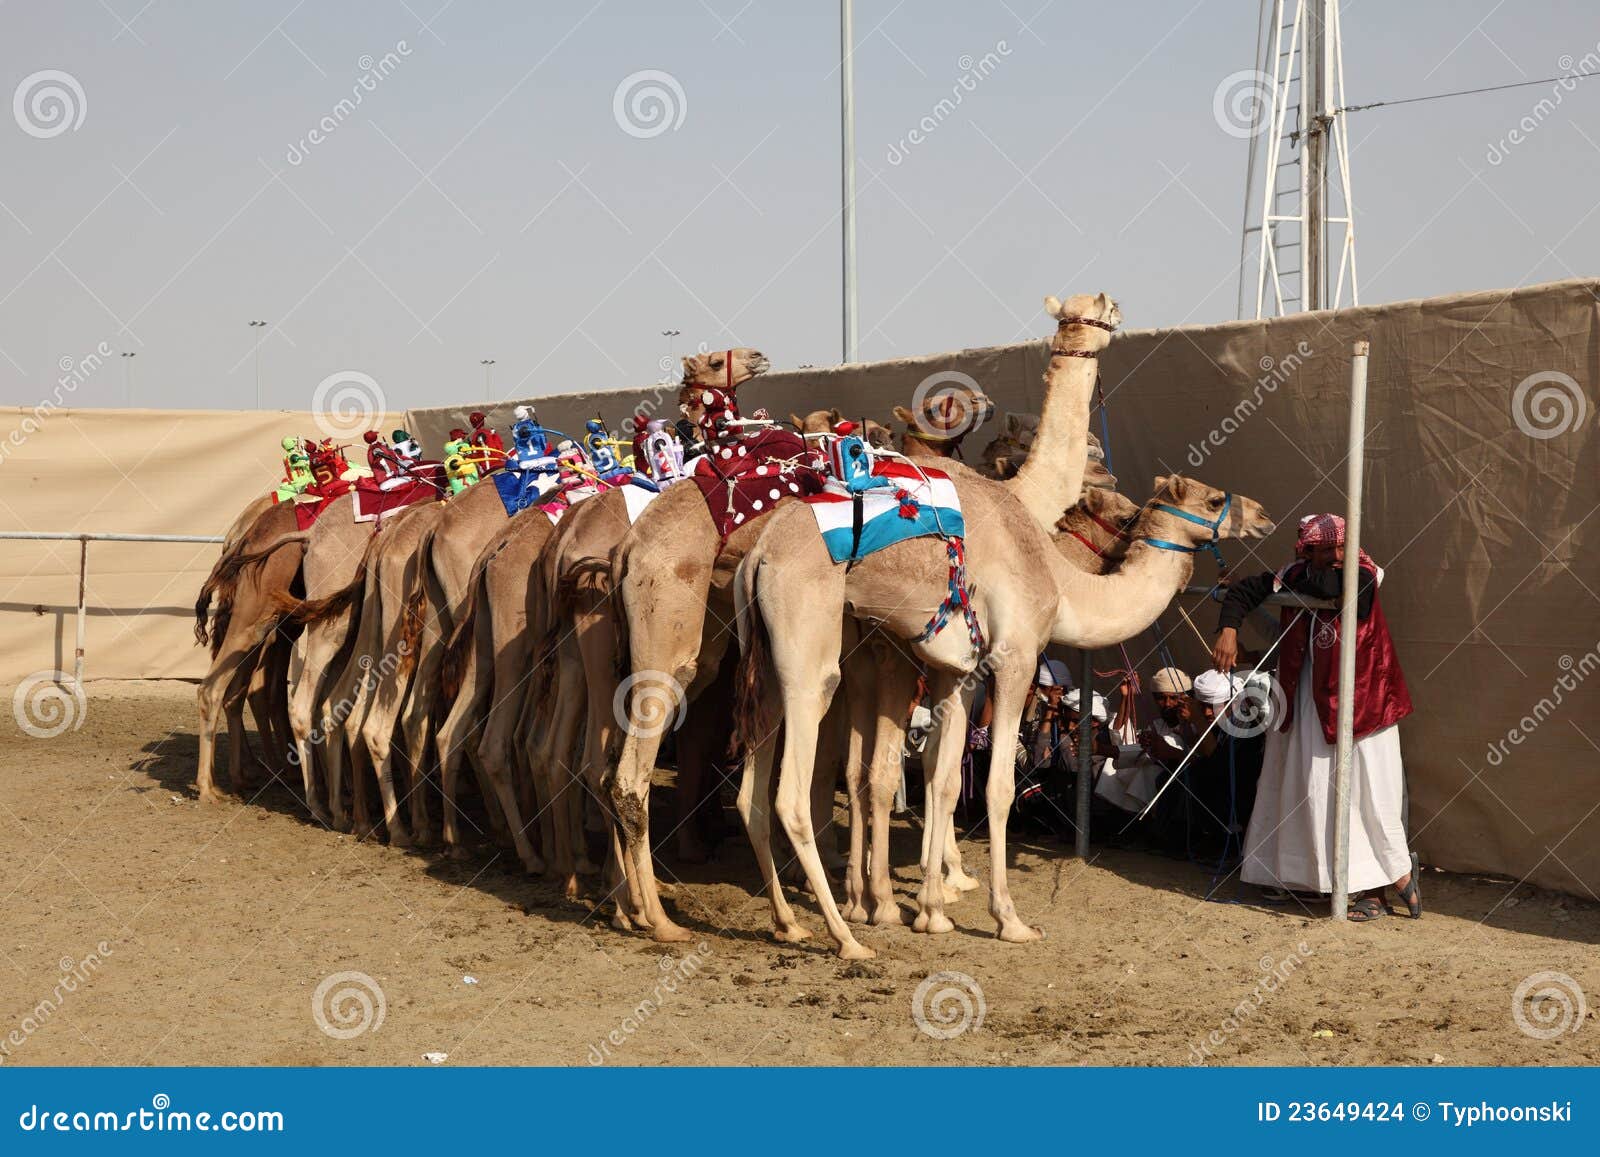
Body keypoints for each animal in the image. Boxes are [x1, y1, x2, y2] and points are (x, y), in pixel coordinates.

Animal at [731, 294, 1276, 957]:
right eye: (1213, 498)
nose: (1264, 514)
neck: (1058, 575)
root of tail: (760, 554)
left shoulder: (958, 671)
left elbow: (941, 780)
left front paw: (933, 910)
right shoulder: (1012, 659)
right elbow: (995, 788)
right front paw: (1006, 918)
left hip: (769, 662)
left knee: (759, 793)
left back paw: (795, 921)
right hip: (811, 654)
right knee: (797, 792)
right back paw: (848, 934)